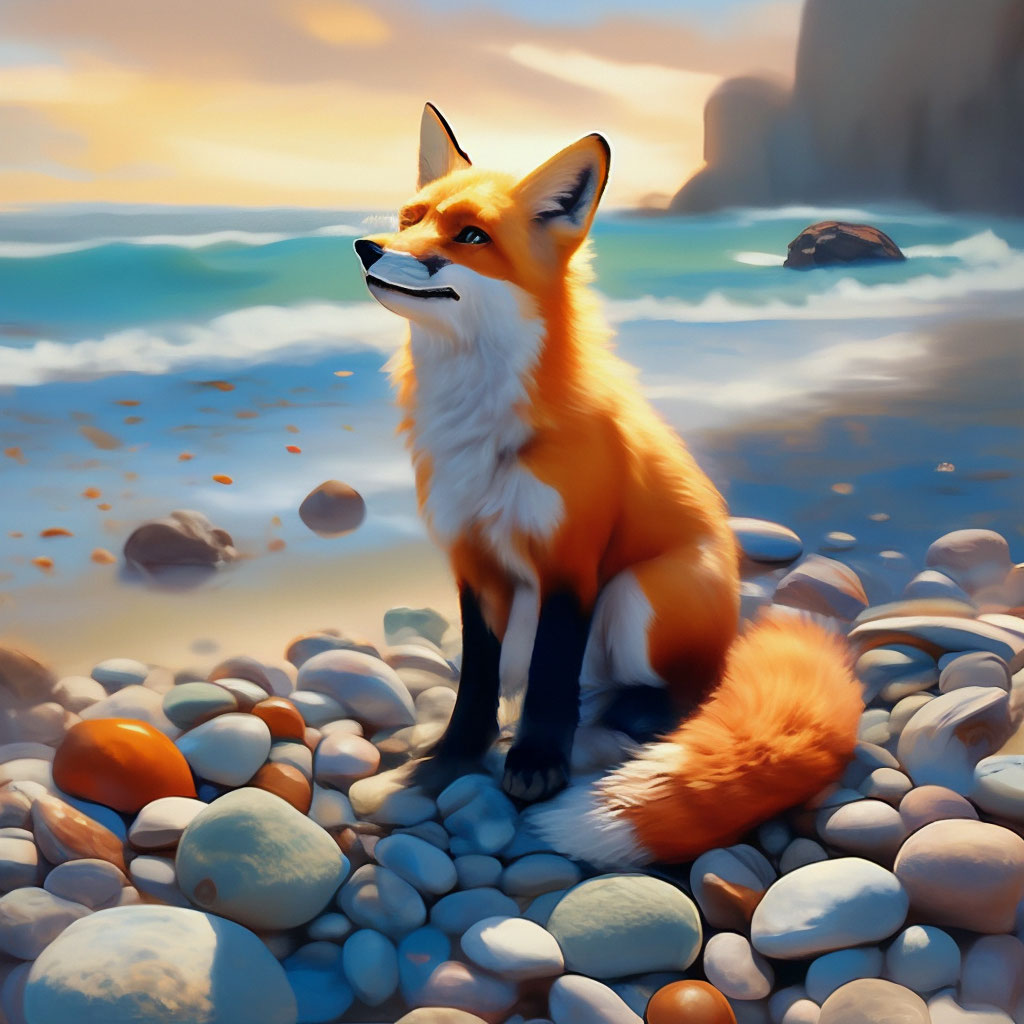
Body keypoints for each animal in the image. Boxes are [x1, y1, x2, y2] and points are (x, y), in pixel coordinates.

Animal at [352, 103, 863, 868]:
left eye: (470, 236)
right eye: (411, 216)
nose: (365, 246)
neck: (481, 422)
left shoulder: (572, 559)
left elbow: (551, 674)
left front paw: (536, 763)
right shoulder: (473, 560)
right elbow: (476, 680)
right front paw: (451, 758)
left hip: (640, 592)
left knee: (681, 688)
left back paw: (631, 716)